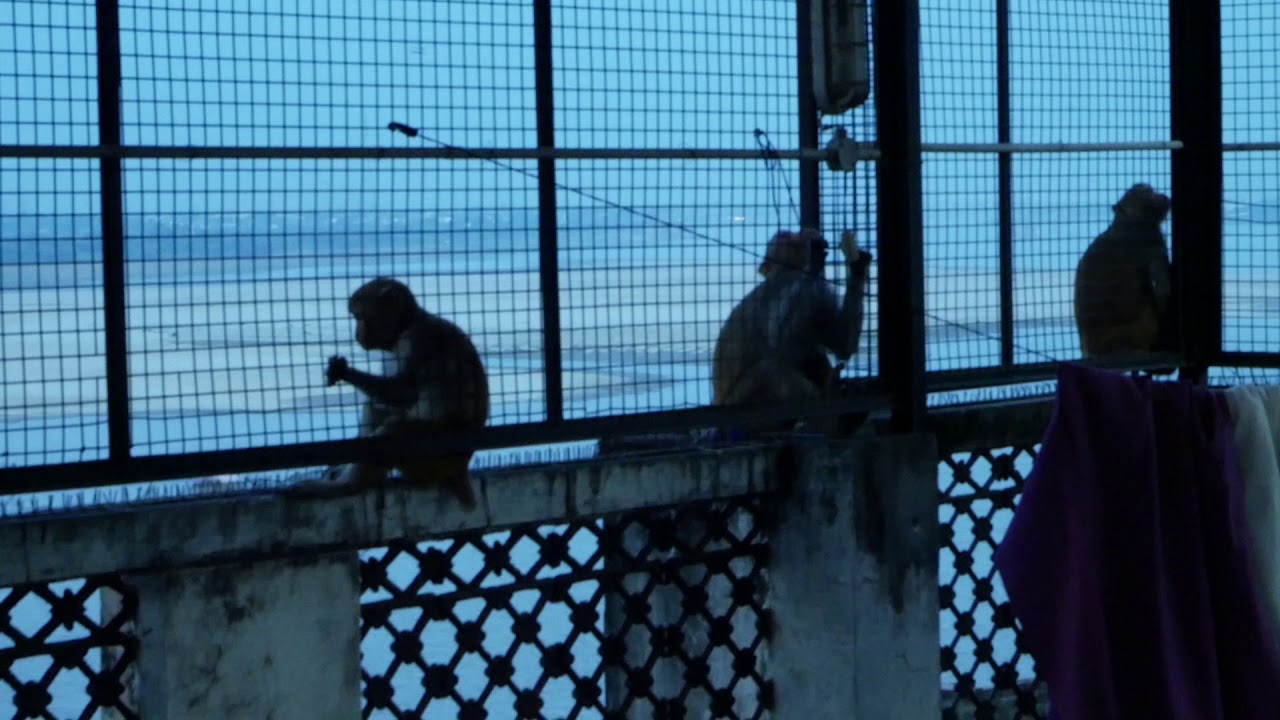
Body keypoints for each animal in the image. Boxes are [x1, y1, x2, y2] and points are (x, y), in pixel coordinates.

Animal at [297, 277, 489, 506]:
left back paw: (348, 485)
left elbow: (404, 393)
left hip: (436, 456)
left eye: (360, 317)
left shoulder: (418, 340)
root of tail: (460, 467)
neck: (407, 324)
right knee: (378, 407)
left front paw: (344, 371)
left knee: (395, 429)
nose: (357, 333)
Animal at [711, 227, 872, 433]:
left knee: (808, 356)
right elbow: (777, 339)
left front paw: (857, 264)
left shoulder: (818, 293)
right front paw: (815, 260)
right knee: (772, 367)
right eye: (787, 236)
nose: (803, 232)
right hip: (741, 402)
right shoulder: (792, 283)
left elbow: (842, 344)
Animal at [1073, 183, 1175, 372]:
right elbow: (1163, 292)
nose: (1161, 196)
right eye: (1146, 193)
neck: (1126, 221)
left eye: (1150, 190)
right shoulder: (1151, 242)